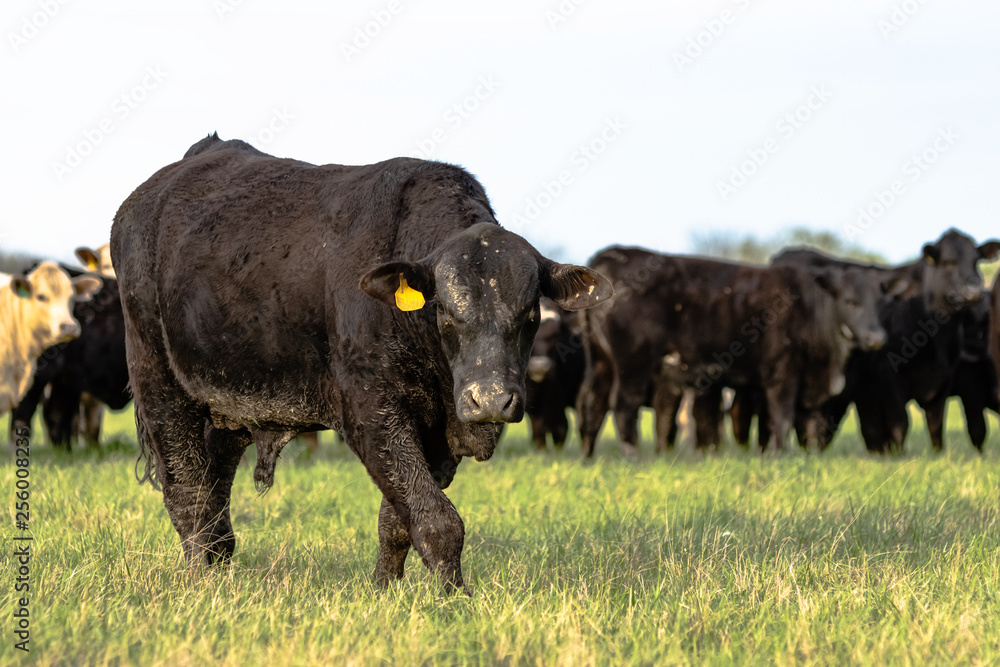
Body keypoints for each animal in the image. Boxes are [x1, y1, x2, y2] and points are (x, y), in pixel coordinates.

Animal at [524, 299, 586, 450]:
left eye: (556, 334)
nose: (539, 367)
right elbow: (537, 426)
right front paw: (541, 450)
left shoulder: (556, 391)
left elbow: (560, 426)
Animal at [577, 247, 887, 456]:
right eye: (850, 300)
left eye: (879, 301)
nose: (877, 337)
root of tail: (611, 254)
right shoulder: (782, 374)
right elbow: (782, 417)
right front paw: (780, 455)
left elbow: (811, 422)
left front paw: (809, 456)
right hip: (632, 362)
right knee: (623, 404)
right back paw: (633, 456)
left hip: (602, 361)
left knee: (594, 403)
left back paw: (589, 457)